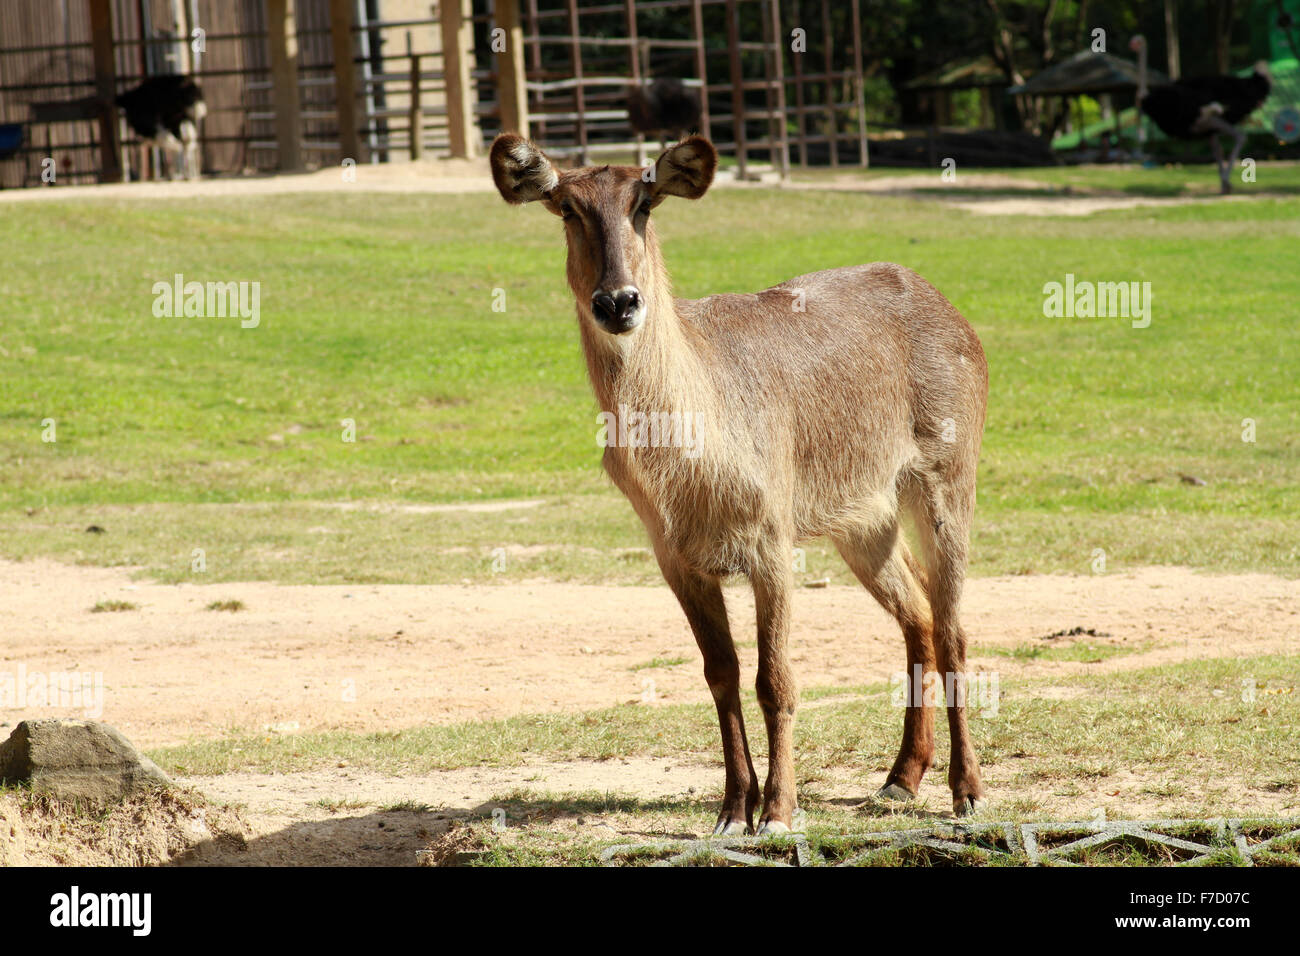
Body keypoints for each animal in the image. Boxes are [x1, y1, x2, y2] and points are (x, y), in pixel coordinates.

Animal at [489, 133, 989, 834]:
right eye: (567, 208)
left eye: (644, 202)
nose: (617, 302)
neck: (687, 452)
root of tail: (944, 305)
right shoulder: (678, 559)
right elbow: (720, 675)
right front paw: (732, 810)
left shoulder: (770, 543)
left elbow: (774, 679)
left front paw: (778, 812)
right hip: (865, 520)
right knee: (917, 617)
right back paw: (898, 781)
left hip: (943, 483)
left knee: (951, 628)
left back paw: (966, 793)